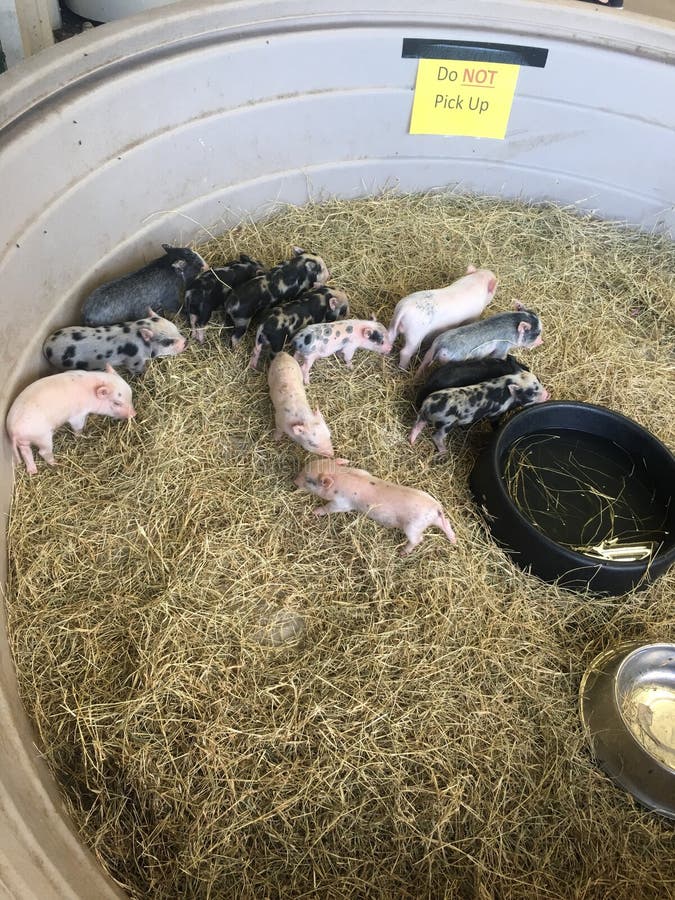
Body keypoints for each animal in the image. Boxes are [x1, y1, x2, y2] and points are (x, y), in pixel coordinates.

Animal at [6, 364, 136, 475]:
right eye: (117, 403)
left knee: (26, 452)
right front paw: (80, 436)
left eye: (130, 393)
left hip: (25, 441)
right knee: (43, 452)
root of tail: (13, 431)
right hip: (42, 437)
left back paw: (33, 471)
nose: (134, 414)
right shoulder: (77, 415)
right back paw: (56, 463)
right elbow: (78, 426)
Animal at [42, 310, 187, 375]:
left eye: (175, 327)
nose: (185, 342)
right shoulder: (134, 360)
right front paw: (143, 375)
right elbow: (136, 369)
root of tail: (46, 346)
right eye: (167, 342)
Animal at [294, 458, 456, 555]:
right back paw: (453, 540)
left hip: (413, 526)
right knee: (447, 523)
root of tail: (436, 507)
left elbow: (330, 508)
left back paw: (402, 553)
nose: (294, 480)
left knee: (418, 539)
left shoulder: (342, 503)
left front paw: (315, 511)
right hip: (435, 519)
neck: (341, 476)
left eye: (308, 480)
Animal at [409, 371, 550, 455]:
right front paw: (498, 428)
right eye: (531, 392)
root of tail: (427, 407)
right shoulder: (495, 413)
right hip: (447, 423)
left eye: (538, 381)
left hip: (423, 418)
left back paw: (411, 441)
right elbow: (494, 421)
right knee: (436, 436)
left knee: (417, 426)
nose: (547, 394)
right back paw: (444, 452)